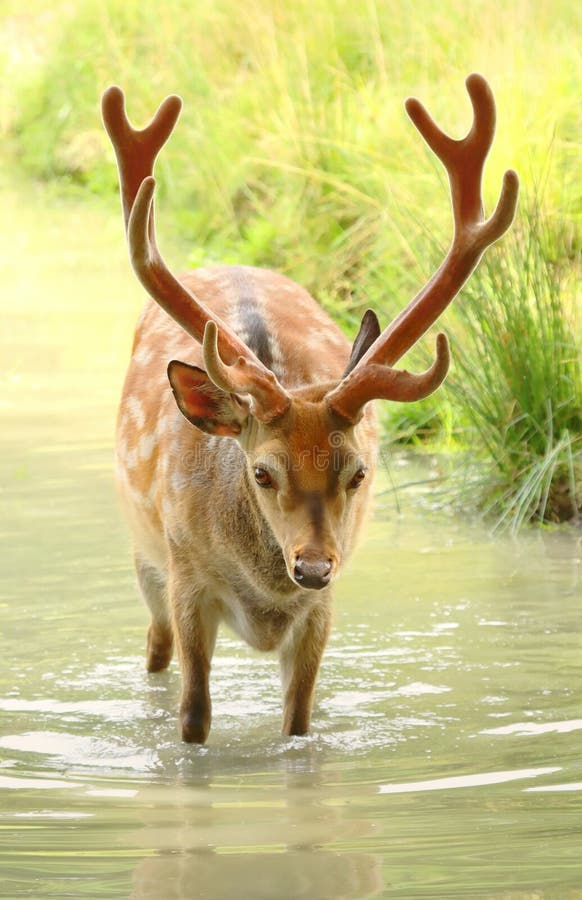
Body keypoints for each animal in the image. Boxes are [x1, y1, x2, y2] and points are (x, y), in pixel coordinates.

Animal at [102, 74, 518, 744]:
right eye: (262, 471)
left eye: (359, 472)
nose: (315, 566)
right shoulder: (186, 576)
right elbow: (193, 716)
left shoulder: (321, 611)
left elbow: (299, 722)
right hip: (146, 559)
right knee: (154, 648)